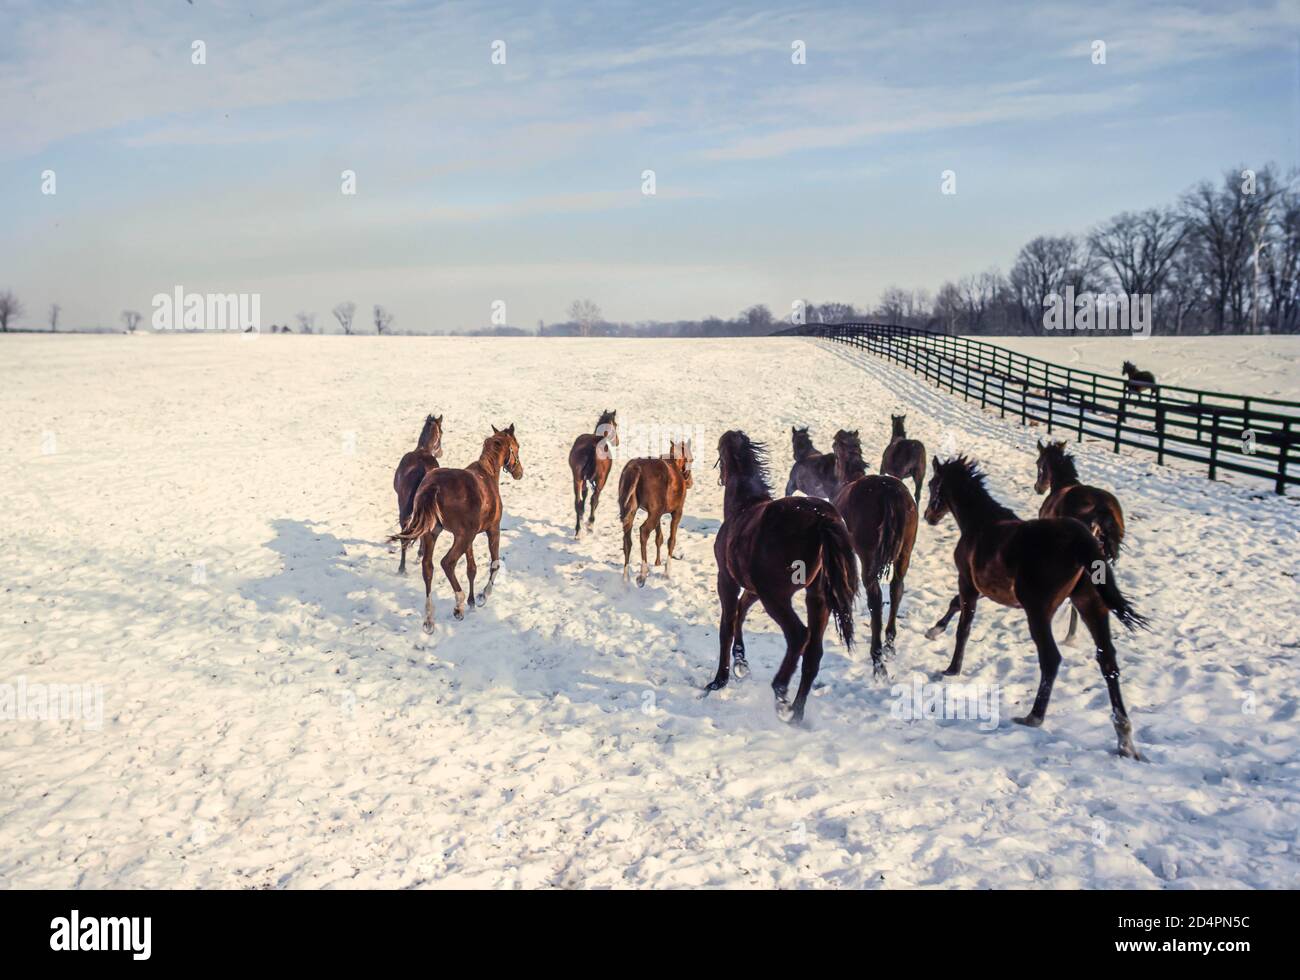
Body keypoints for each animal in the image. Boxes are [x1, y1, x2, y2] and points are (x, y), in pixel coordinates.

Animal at [618, 439, 693, 587]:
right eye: (691, 459)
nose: (690, 482)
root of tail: (635, 468)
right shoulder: (677, 512)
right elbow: (671, 540)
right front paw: (667, 571)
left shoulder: (655, 513)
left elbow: (659, 538)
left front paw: (658, 562)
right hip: (654, 514)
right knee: (644, 531)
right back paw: (643, 573)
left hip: (631, 511)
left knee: (627, 540)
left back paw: (625, 576)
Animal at [705, 430, 859, 725]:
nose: (720, 477)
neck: (743, 507)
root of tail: (821, 520)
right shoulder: (753, 588)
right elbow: (740, 612)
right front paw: (741, 662)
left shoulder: (727, 581)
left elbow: (727, 623)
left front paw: (720, 679)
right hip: (816, 598)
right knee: (813, 653)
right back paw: (796, 713)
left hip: (776, 598)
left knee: (798, 636)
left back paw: (780, 691)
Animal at [831, 430, 918, 678]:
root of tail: (890, 493)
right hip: (904, 553)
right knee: (897, 588)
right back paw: (889, 643)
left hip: (869, 558)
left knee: (876, 598)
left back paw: (877, 657)